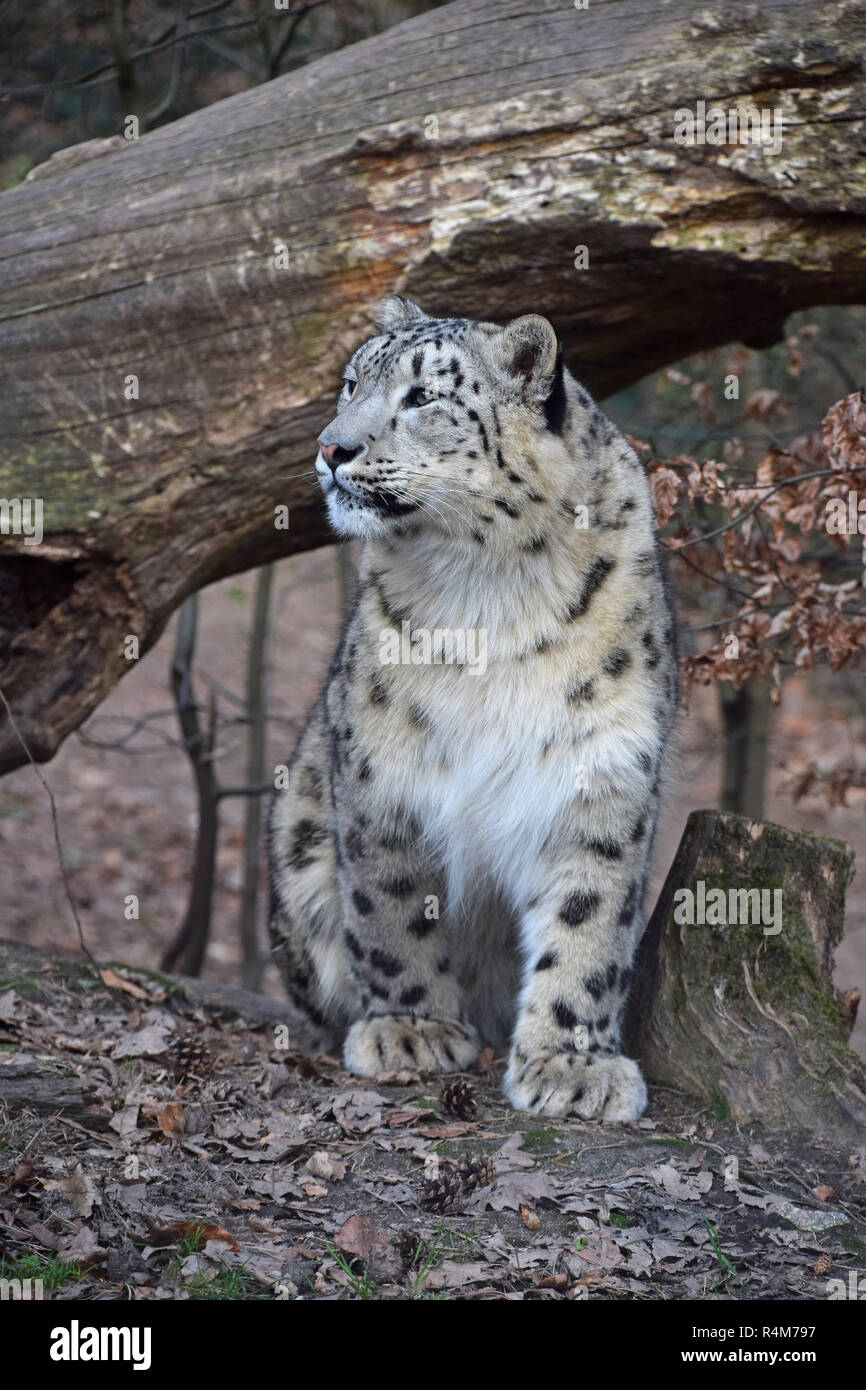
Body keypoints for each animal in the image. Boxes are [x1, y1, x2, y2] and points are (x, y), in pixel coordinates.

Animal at [267, 295, 677, 1121]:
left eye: (423, 396)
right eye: (352, 383)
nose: (331, 447)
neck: (487, 588)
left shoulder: (603, 770)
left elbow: (589, 919)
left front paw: (572, 1066)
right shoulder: (383, 764)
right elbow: (390, 903)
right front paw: (412, 1029)